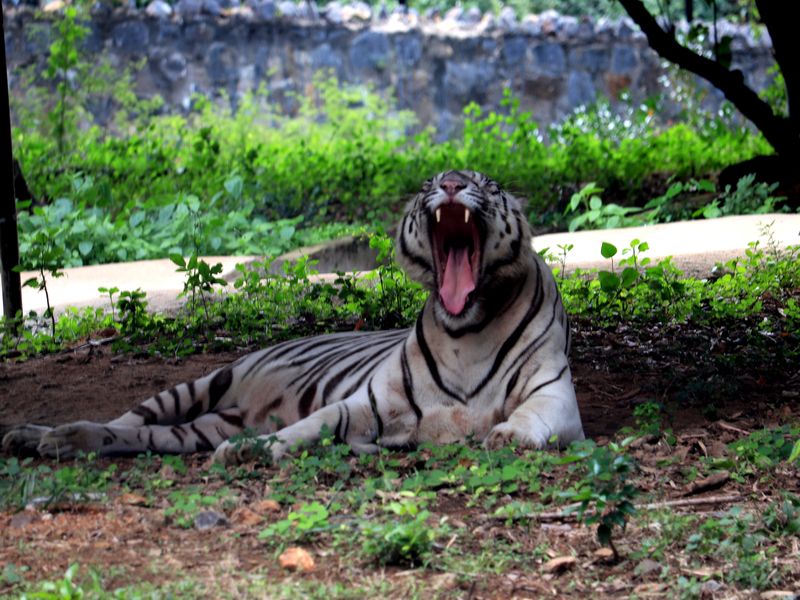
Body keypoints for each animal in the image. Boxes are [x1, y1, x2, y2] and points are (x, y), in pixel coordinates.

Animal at [2, 170, 585, 465]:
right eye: (429, 184)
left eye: (485, 184)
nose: (449, 185)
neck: (466, 326)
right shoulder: (371, 403)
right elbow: (316, 423)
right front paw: (252, 452)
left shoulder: (554, 397)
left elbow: (531, 419)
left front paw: (507, 435)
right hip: (200, 383)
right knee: (125, 421)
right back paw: (44, 436)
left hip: (198, 426)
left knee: (147, 437)